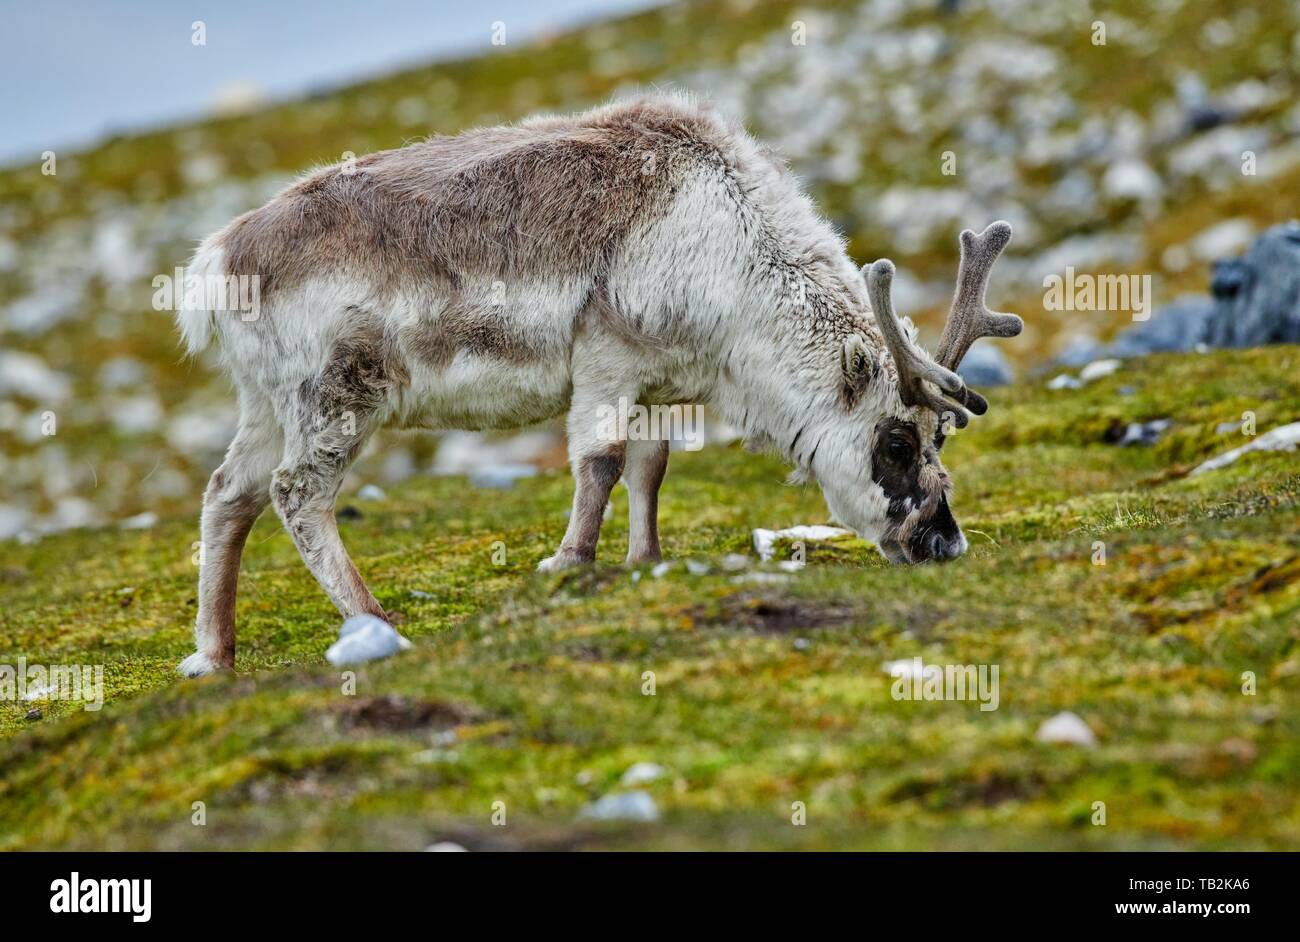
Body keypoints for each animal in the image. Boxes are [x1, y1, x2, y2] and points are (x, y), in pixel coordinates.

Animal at [175, 94, 1021, 676]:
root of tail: (216, 260)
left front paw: (645, 558)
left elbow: (651, 470)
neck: (737, 249)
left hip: (264, 404)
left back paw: (214, 654)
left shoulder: (663, 384)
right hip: (334, 396)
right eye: (897, 442)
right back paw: (375, 620)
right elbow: (600, 462)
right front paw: (568, 562)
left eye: (942, 438)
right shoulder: (607, 358)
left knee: (228, 492)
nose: (943, 542)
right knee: (295, 494)